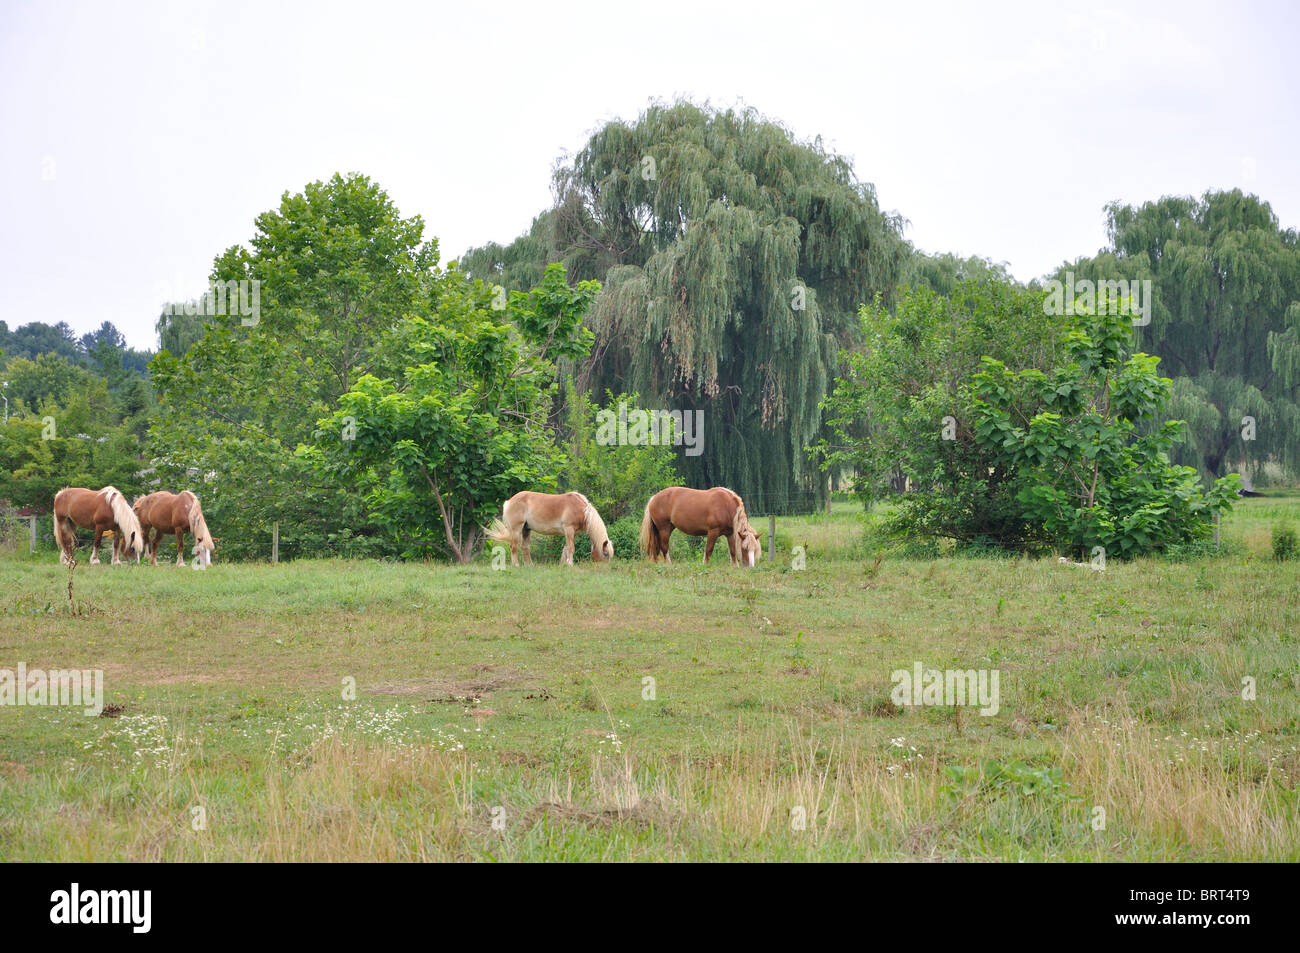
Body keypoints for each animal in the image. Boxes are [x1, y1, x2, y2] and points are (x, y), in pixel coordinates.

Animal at [484, 491, 613, 566]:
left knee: (525, 547)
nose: (605, 568)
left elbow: (566, 548)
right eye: (605, 554)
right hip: (516, 530)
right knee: (514, 547)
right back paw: (516, 565)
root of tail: (509, 501)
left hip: (526, 529)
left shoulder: (573, 533)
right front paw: (570, 564)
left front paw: (563, 564)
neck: (581, 509)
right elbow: (571, 548)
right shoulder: (569, 529)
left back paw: (529, 565)